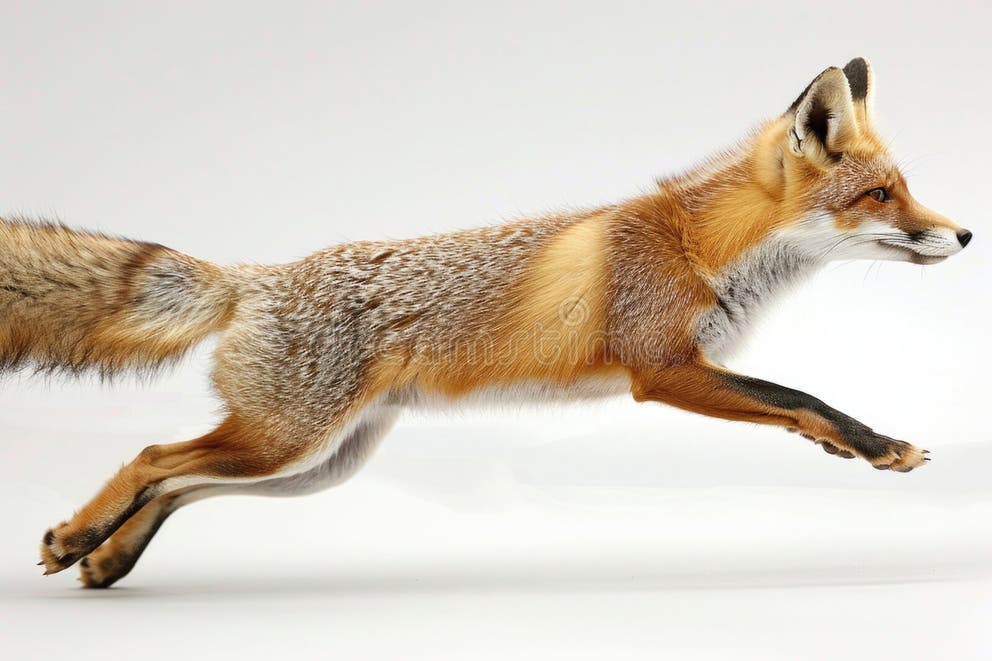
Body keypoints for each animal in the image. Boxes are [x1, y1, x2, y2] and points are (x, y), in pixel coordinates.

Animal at [1, 57, 971, 588]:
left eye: (905, 188)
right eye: (881, 195)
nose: (964, 234)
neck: (702, 246)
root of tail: (256, 278)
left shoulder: (694, 368)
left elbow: (793, 401)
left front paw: (847, 448)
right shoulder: (663, 369)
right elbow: (798, 392)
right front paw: (876, 443)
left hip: (315, 463)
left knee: (178, 481)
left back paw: (106, 558)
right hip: (285, 440)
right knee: (152, 458)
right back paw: (78, 536)